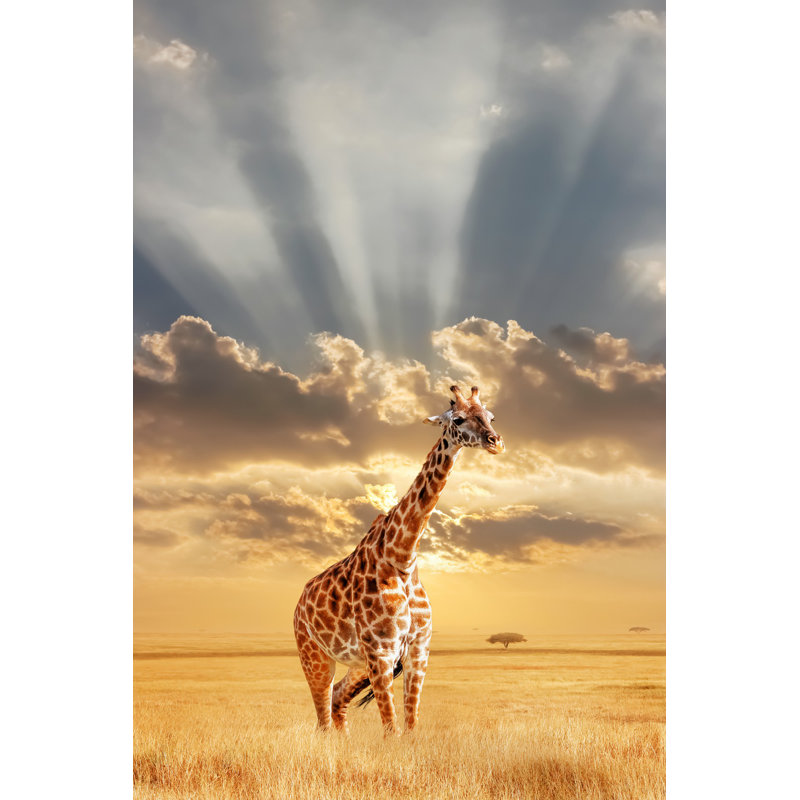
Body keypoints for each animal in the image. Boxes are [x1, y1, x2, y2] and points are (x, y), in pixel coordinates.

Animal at [293, 384, 505, 735]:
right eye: (457, 419)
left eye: (490, 416)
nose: (495, 442)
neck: (402, 556)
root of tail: (298, 605)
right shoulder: (381, 650)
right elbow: (391, 730)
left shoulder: (418, 650)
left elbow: (411, 726)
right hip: (314, 655)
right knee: (322, 715)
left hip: (357, 664)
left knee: (337, 700)